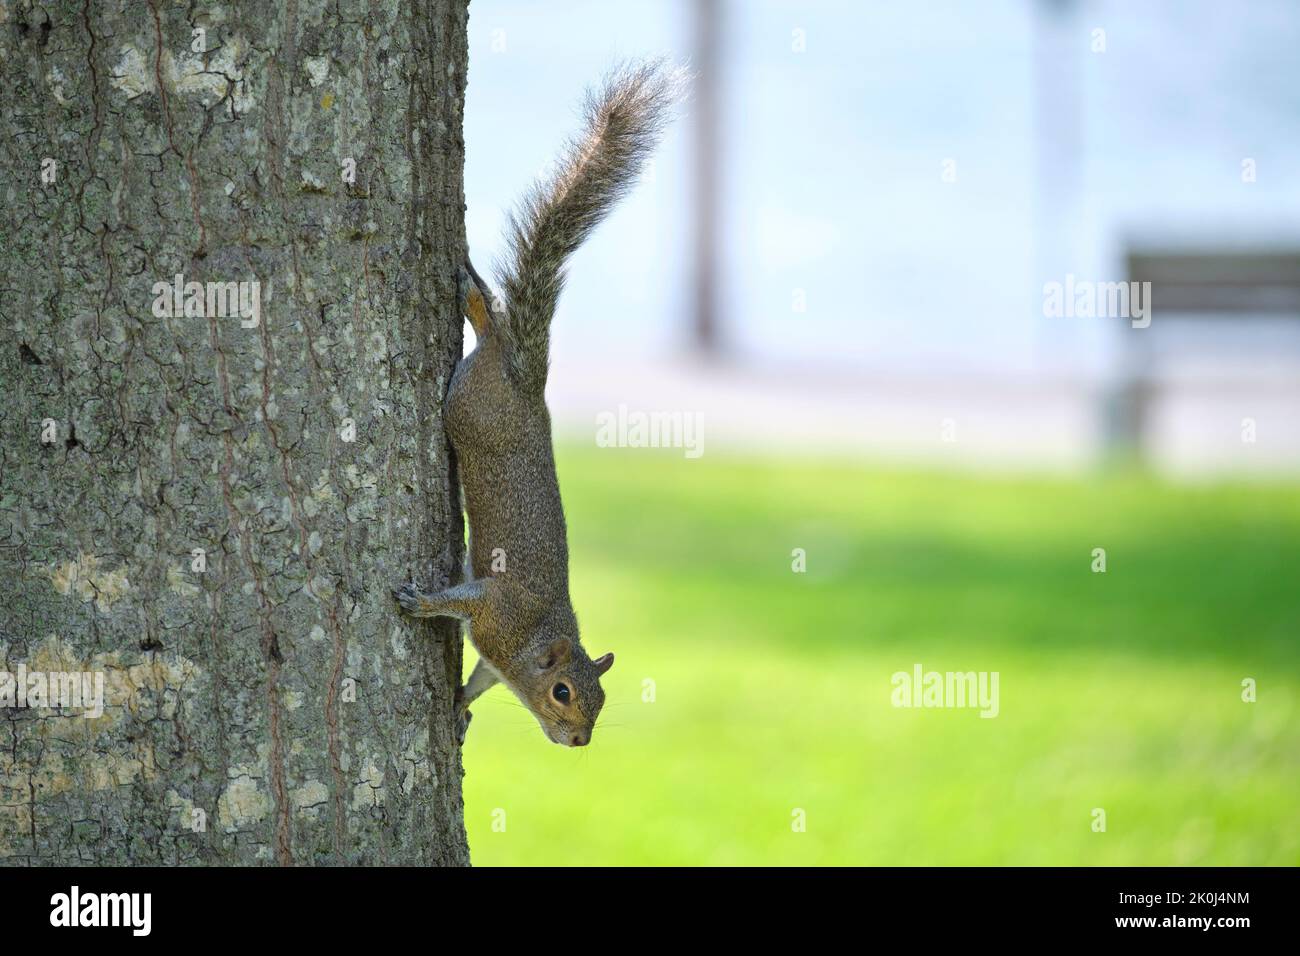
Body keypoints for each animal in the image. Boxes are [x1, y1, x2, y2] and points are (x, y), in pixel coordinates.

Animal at [394, 61, 683, 747]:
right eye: (563, 693)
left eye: (601, 699)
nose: (579, 742)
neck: (532, 641)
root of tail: (528, 381)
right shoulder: (496, 609)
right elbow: (458, 603)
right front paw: (421, 602)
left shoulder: (496, 656)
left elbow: (479, 679)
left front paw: (458, 706)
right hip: (470, 405)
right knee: (490, 329)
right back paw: (475, 300)